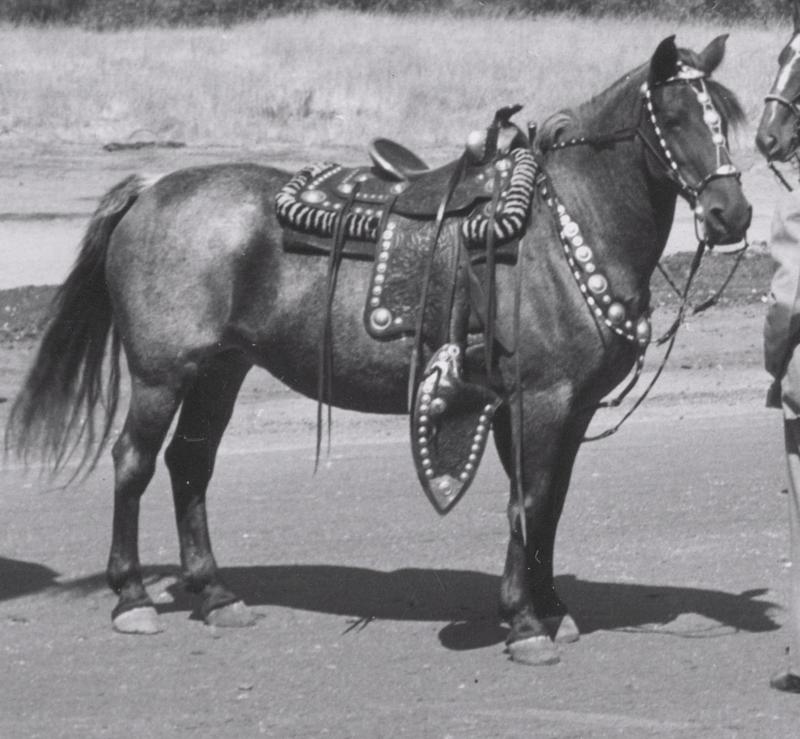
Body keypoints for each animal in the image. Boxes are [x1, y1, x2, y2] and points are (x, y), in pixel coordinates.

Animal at [6, 35, 751, 666]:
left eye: (725, 117)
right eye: (675, 115)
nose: (731, 214)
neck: (561, 229)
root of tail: (151, 188)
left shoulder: (567, 409)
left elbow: (549, 505)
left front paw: (551, 608)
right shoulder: (539, 401)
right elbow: (530, 502)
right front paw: (525, 623)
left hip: (222, 369)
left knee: (190, 464)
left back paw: (216, 594)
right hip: (163, 372)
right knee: (133, 462)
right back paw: (132, 597)